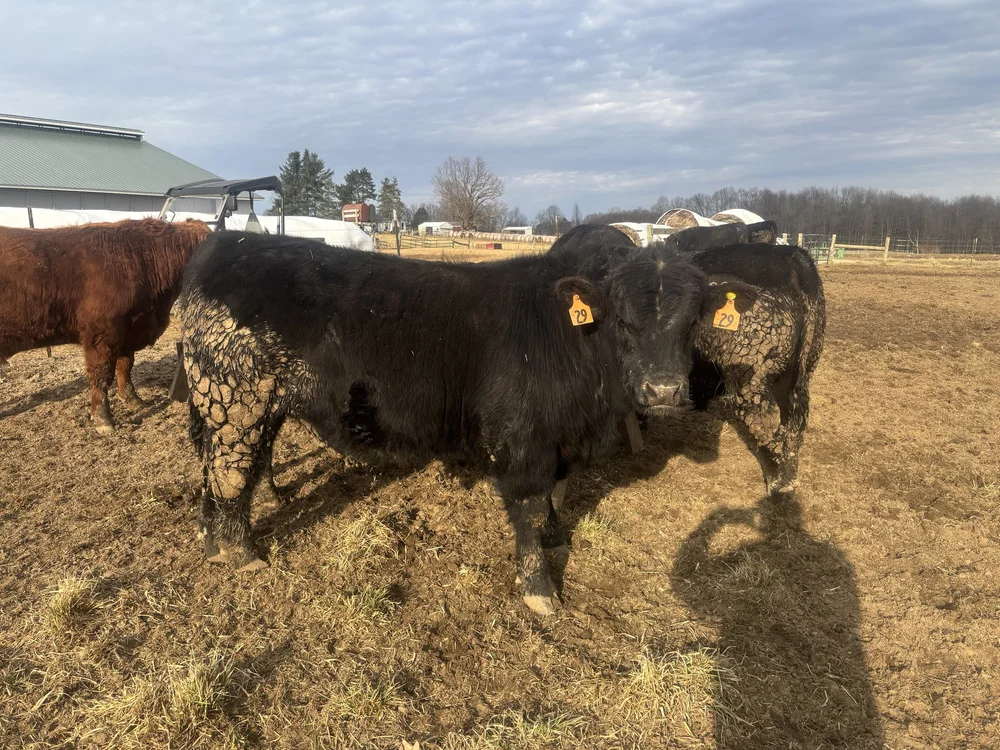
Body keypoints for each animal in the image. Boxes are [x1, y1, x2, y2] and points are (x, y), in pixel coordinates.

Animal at [0, 219, 210, 432]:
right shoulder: (101, 335)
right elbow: (102, 375)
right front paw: (104, 419)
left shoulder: (128, 330)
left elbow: (125, 366)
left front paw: (132, 399)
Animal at [175, 231, 708, 615]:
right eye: (622, 319)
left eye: (694, 320)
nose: (664, 390)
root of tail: (226, 244)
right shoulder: (523, 441)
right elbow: (531, 510)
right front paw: (539, 590)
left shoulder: (558, 442)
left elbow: (555, 498)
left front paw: (558, 539)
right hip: (236, 401)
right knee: (230, 474)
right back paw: (242, 554)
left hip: (250, 409)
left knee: (222, 470)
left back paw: (211, 542)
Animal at [549, 224, 825, 495]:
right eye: (622, 321)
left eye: (693, 322)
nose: (662, 391)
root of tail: (792, 257)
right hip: (797, 372)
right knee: (792, 423)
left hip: (752, 380)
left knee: (766, 425)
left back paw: (777, 483)